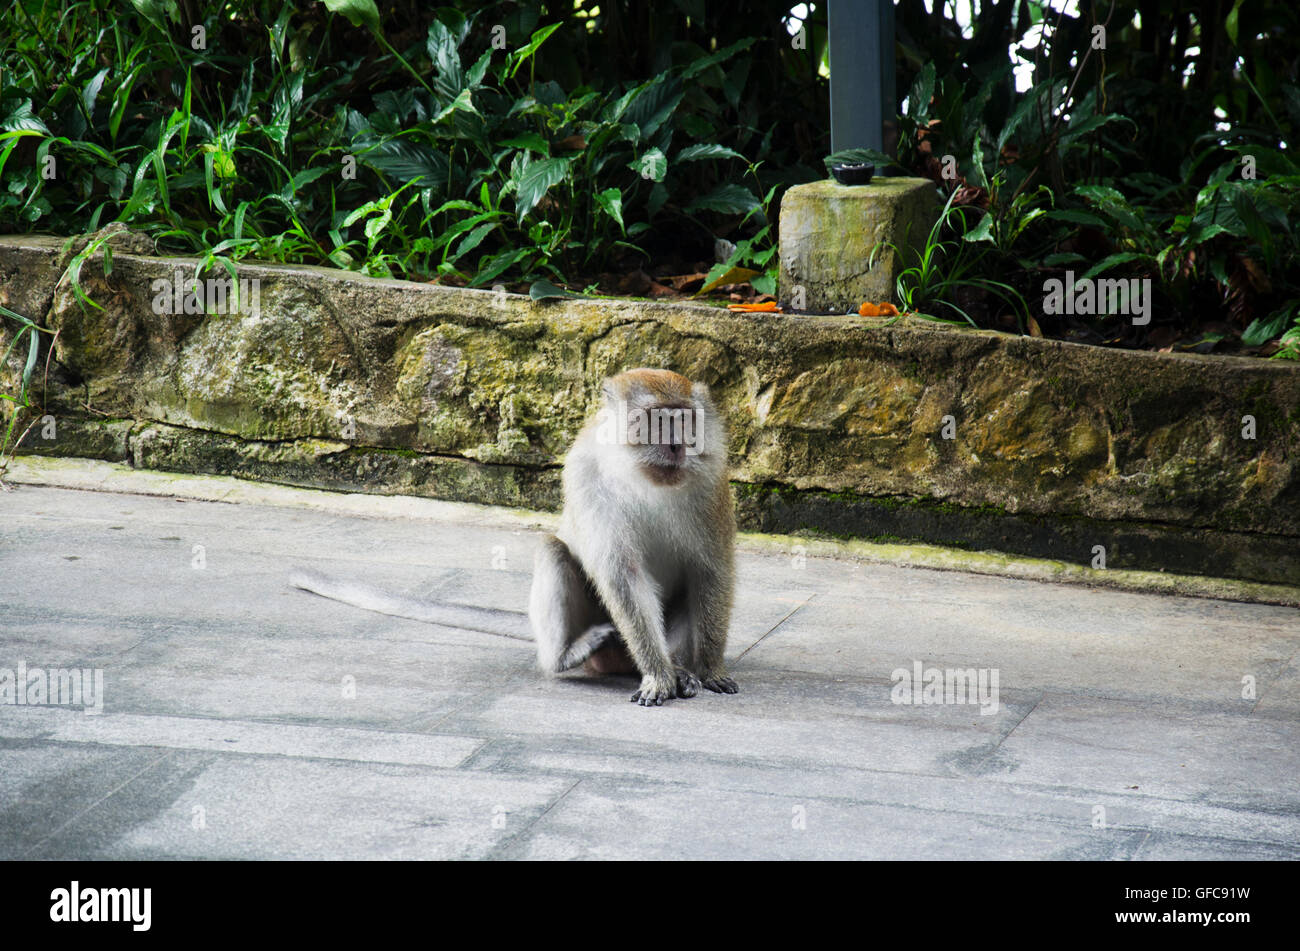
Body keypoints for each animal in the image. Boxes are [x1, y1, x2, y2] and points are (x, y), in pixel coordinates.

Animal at [290, 368, 738, 707]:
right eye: (657, 419)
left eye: (685, 419)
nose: (678, 446)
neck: (637, 473)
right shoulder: (585, 472)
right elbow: (622, 575)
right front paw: (659, 675)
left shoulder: (711, 478)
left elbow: (709, 569)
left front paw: (706, 670)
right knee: (552, 550)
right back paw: (566, 657)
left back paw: (681, 668)